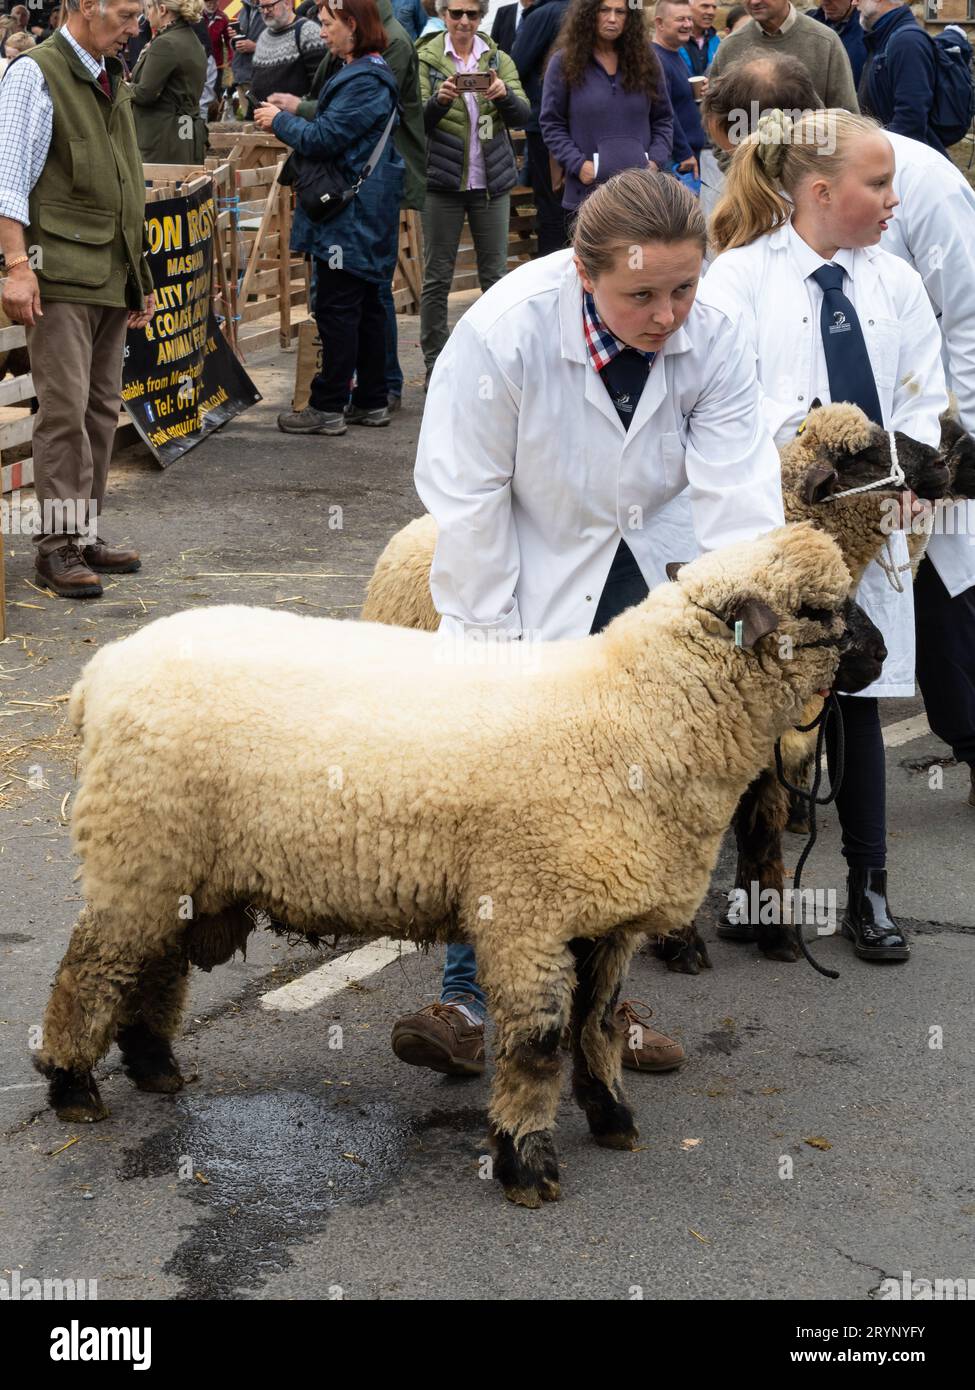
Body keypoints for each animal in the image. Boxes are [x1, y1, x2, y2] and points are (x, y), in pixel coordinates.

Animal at [35, 524, 881, 1207]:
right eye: (818, 609)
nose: (877, 655)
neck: (630, 713)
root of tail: (98, 678)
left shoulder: (604, 917)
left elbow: (598, 1025)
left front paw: (610, 1116)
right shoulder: (527, 910)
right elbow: (539, 1042)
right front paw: (525, 1164)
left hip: (176, 864)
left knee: (154, 965)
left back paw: (154, 1066)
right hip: (138, 849)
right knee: (92, 969)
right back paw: (74, 1087)